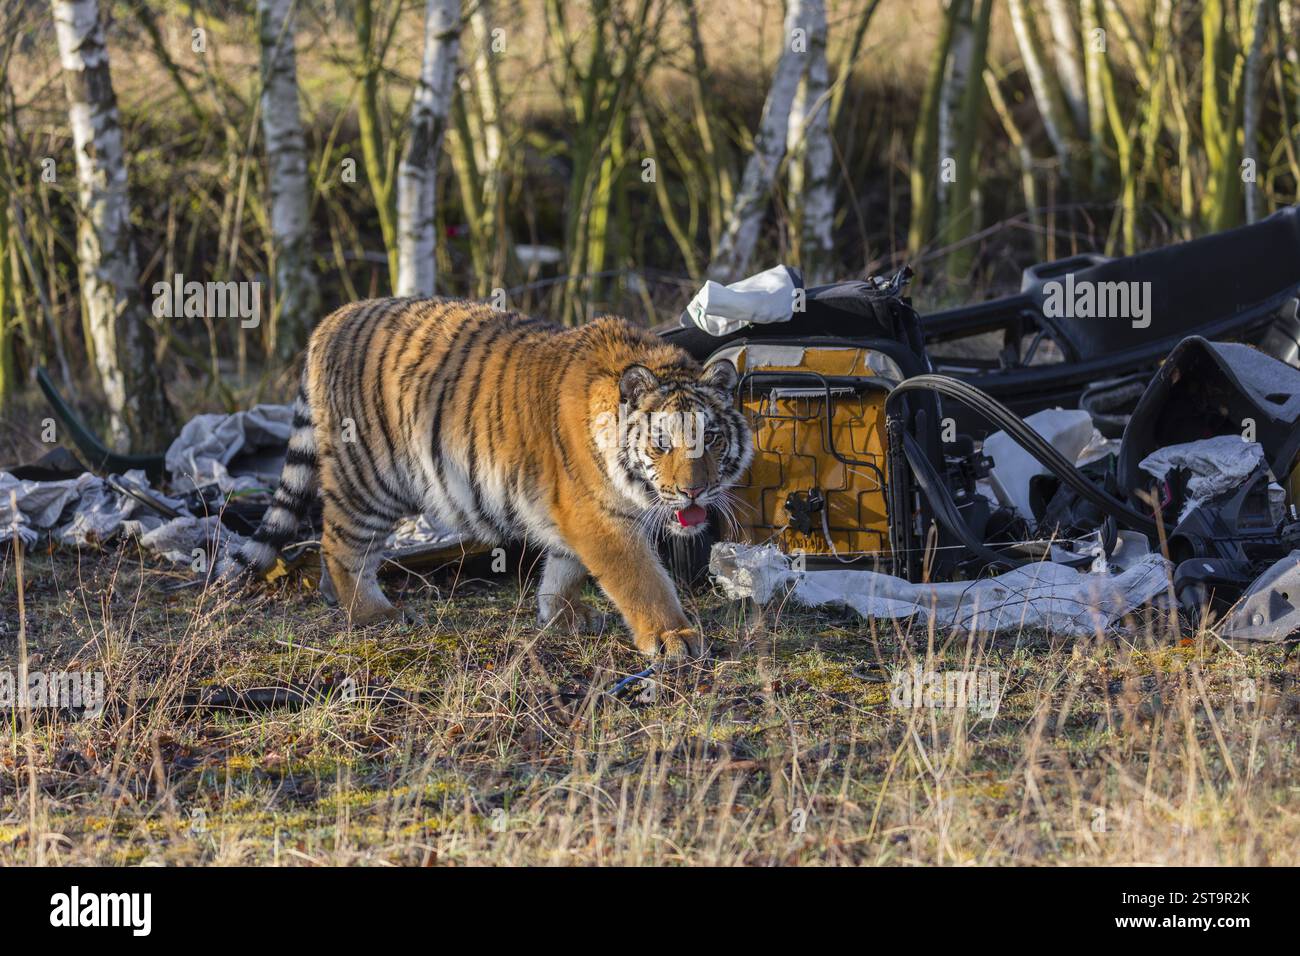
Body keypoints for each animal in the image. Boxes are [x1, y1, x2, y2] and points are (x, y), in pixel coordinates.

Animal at [222, 297, 752, 658]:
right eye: (662, 443)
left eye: (711, 440)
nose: (694, 491)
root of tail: (331, 319)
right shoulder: (600, 516)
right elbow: (642, 579)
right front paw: (673, 636)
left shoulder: (571, 511)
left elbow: (565, 565)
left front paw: (562, 615)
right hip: (369, 479)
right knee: (338, 544)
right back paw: (375, 615)